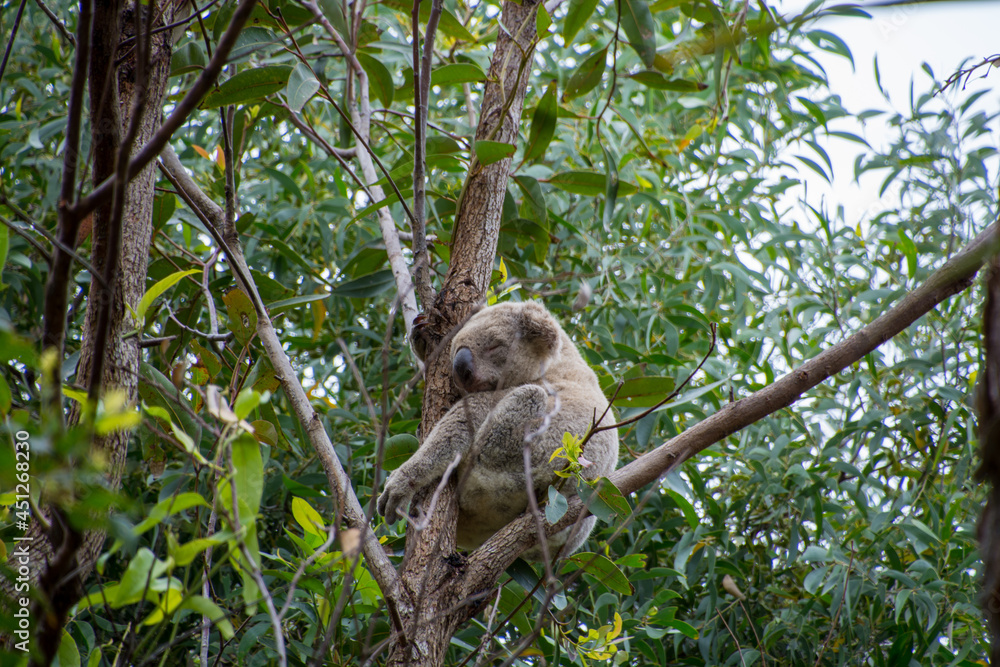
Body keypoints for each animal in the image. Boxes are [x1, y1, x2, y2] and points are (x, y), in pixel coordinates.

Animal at [377, 301, 619, 558]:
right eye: (453, 350)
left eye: (495, 346)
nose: (461, 369)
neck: (558, 358)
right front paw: (421, 335)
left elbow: (460, 424)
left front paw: (399, 486)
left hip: (518, 460)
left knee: (530, 396)